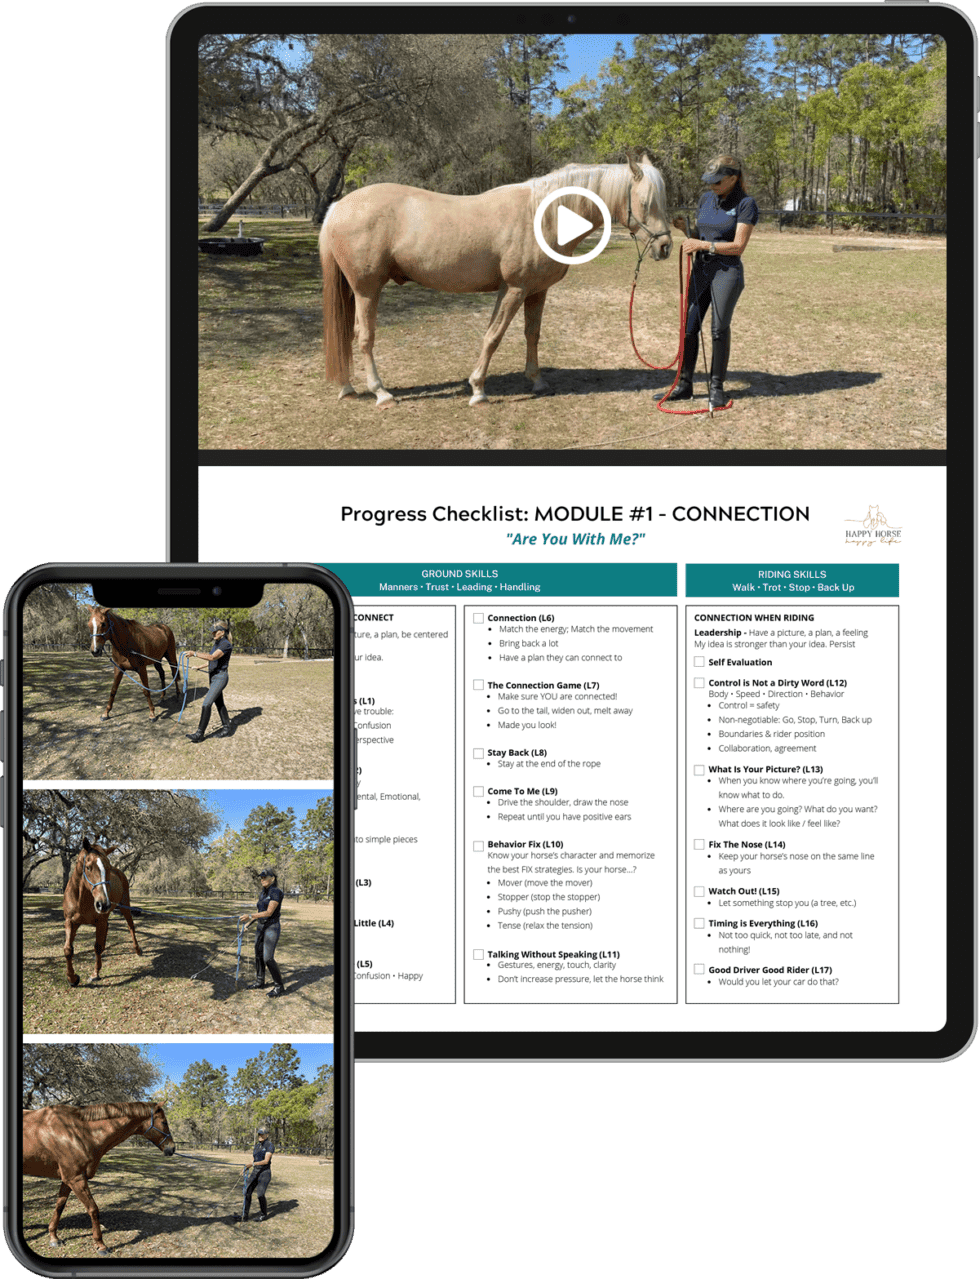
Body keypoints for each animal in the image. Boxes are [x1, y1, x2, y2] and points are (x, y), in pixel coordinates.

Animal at [23, 1101, 175, 1254]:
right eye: (164, 1122)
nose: (172, 1148)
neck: (77, 1132)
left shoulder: (68, 1180)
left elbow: (59, 1207)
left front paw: (54, 1238)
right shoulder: (76, 1180)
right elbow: (93, 1209)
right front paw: (100, 1245)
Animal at [62, 838, 143, 987]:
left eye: (108, 867)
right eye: (88, 867)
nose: (103, 904)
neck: (82, 899)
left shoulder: (100, 921)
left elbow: (97, 946)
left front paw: (95, 974)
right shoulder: (70, 922)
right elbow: (68, 949)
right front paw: (72, 978)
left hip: (124, 907)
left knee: (130, 926)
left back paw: (137, 949)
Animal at [320, 154, 672, 408]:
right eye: (645, 203)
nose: (666, 247)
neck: (543, 215)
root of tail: (338, 206)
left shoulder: (537, 291)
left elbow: (532, 334)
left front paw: (537, 381)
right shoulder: (513, 289)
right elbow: (493, 336)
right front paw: (478, 390)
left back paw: (348, 387)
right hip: (367, 290)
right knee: (364, 337)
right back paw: (381, 394)